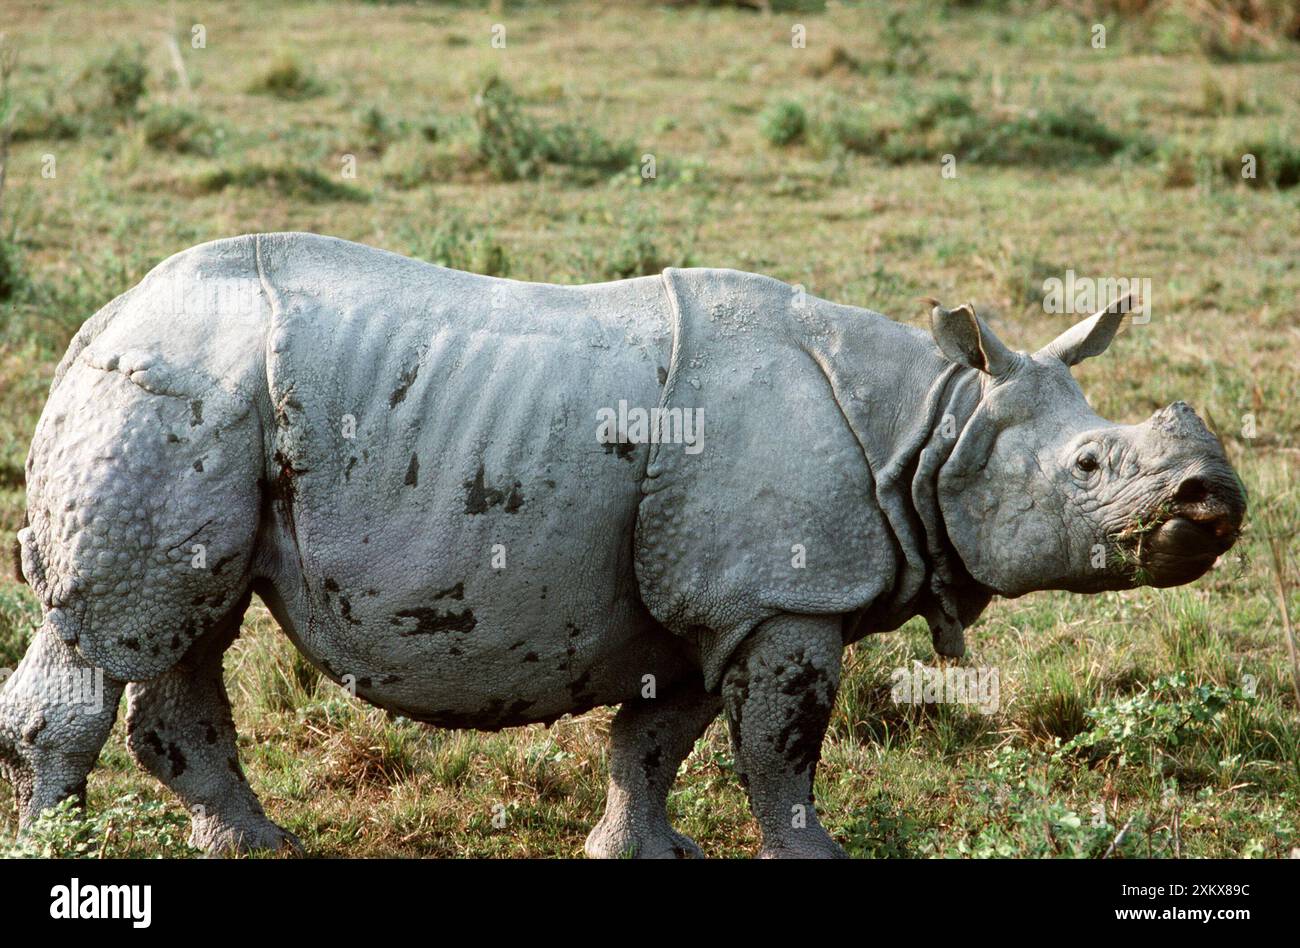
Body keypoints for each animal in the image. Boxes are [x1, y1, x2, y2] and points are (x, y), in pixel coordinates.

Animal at [0, 233, 1245, 858]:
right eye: (1088, 468)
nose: (1216, 498)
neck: (935, 425)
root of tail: (101, 315)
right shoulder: (779, 596)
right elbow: (781, 751)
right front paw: (816, 859)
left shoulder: (713, 600)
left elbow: (656, 741)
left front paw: (639, 854)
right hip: (171, 392)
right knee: (111, 633)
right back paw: (69, 850)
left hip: (207, 404)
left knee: (183, 630)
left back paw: (256, 846)